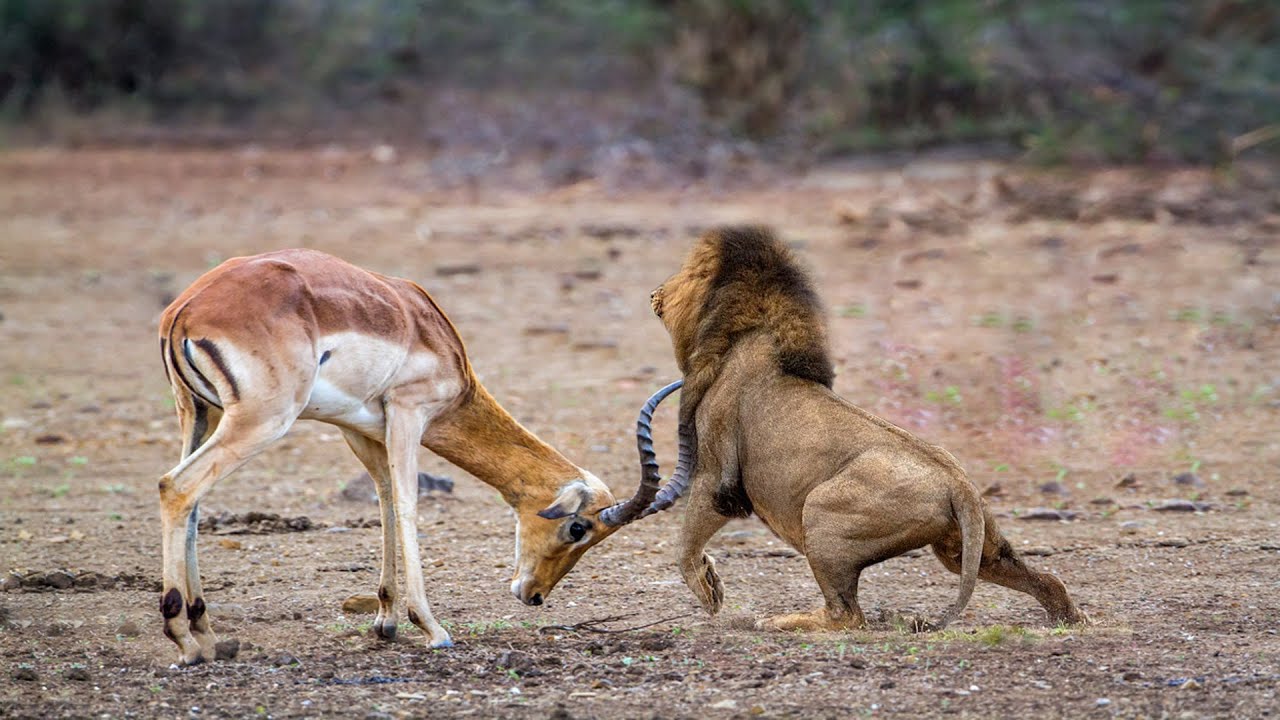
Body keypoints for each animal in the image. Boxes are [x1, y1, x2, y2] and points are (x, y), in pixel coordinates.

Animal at [156, 249, 662, 665]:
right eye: (579, 528)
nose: (534, 595)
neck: (432, 333)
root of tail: (185, 309)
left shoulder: (359, 431)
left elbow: (383, 502)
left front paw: (387, 620)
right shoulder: (407, 414)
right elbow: (407, 505)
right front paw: (432, 628)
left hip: (198, 414)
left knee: (193, 503)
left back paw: (206, 636)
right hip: (263, 420)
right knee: (176, 486)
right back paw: (182, 638)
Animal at [644, 226, 1087, 631]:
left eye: (685, 272)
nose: (654, 293)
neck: (748, 334)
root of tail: (958, 484)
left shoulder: (716, 475)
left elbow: (685, 544)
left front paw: (709, 592)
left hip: (820, 515)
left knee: (847, 616)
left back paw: (780, 621)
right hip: (969, 549)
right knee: (1047, 579)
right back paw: (1070, 618)